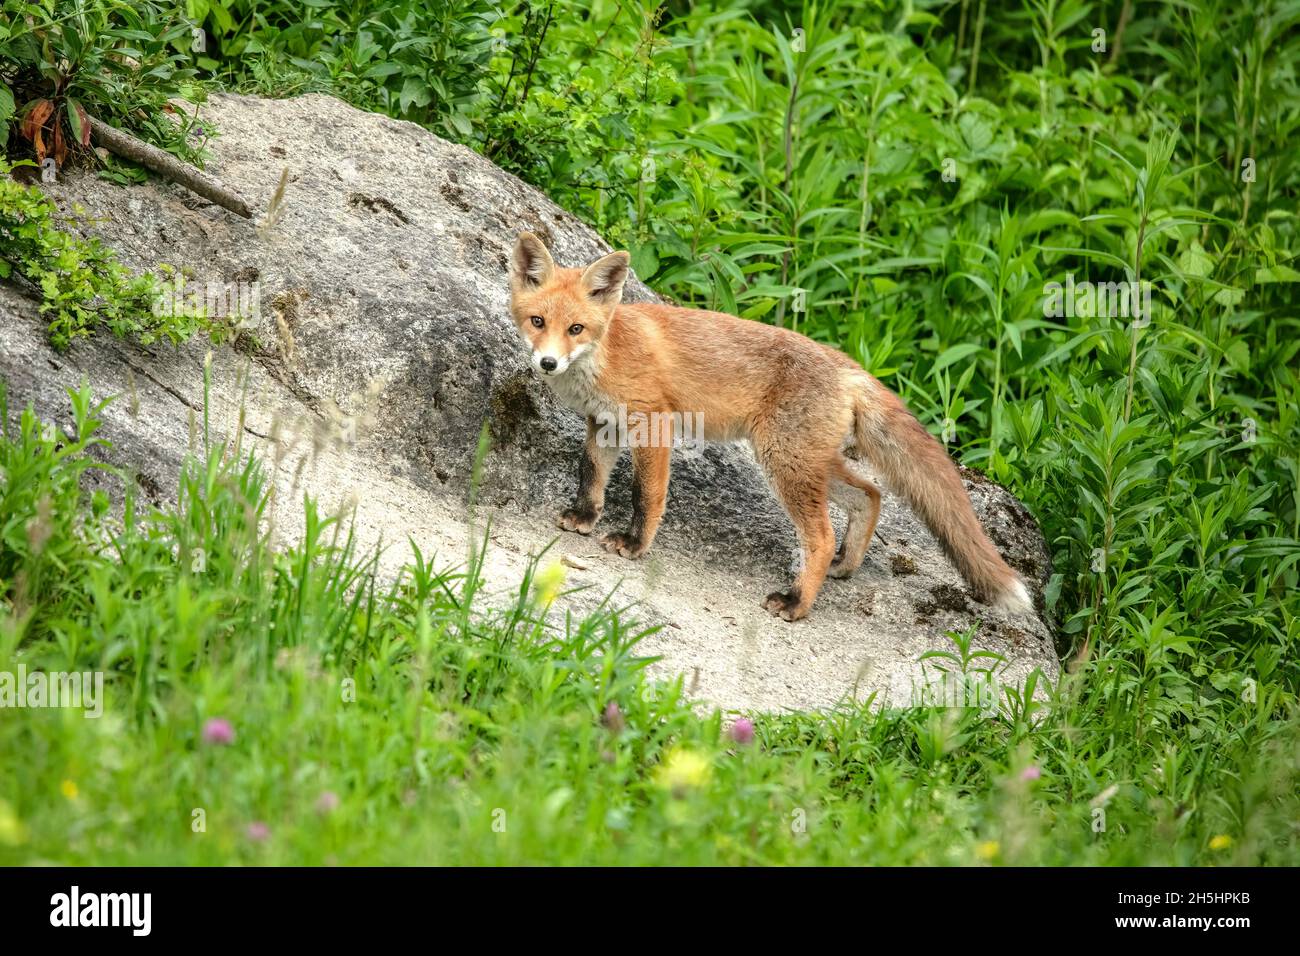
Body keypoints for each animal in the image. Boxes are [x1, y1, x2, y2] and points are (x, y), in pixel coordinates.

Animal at [507, 231, 1033, 622]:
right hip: (806, 462)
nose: (549, 363)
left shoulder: (653, 422)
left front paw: (635, 544)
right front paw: (584, 517)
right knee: (870, 495)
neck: (605, 354)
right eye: (537, 321)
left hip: (784, 463)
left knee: (821, 535)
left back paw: (797, 602)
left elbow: (646, 495)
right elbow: (591, 474)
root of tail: (850, 367)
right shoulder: (604, 423)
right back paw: (846, 565)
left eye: (576, 329)